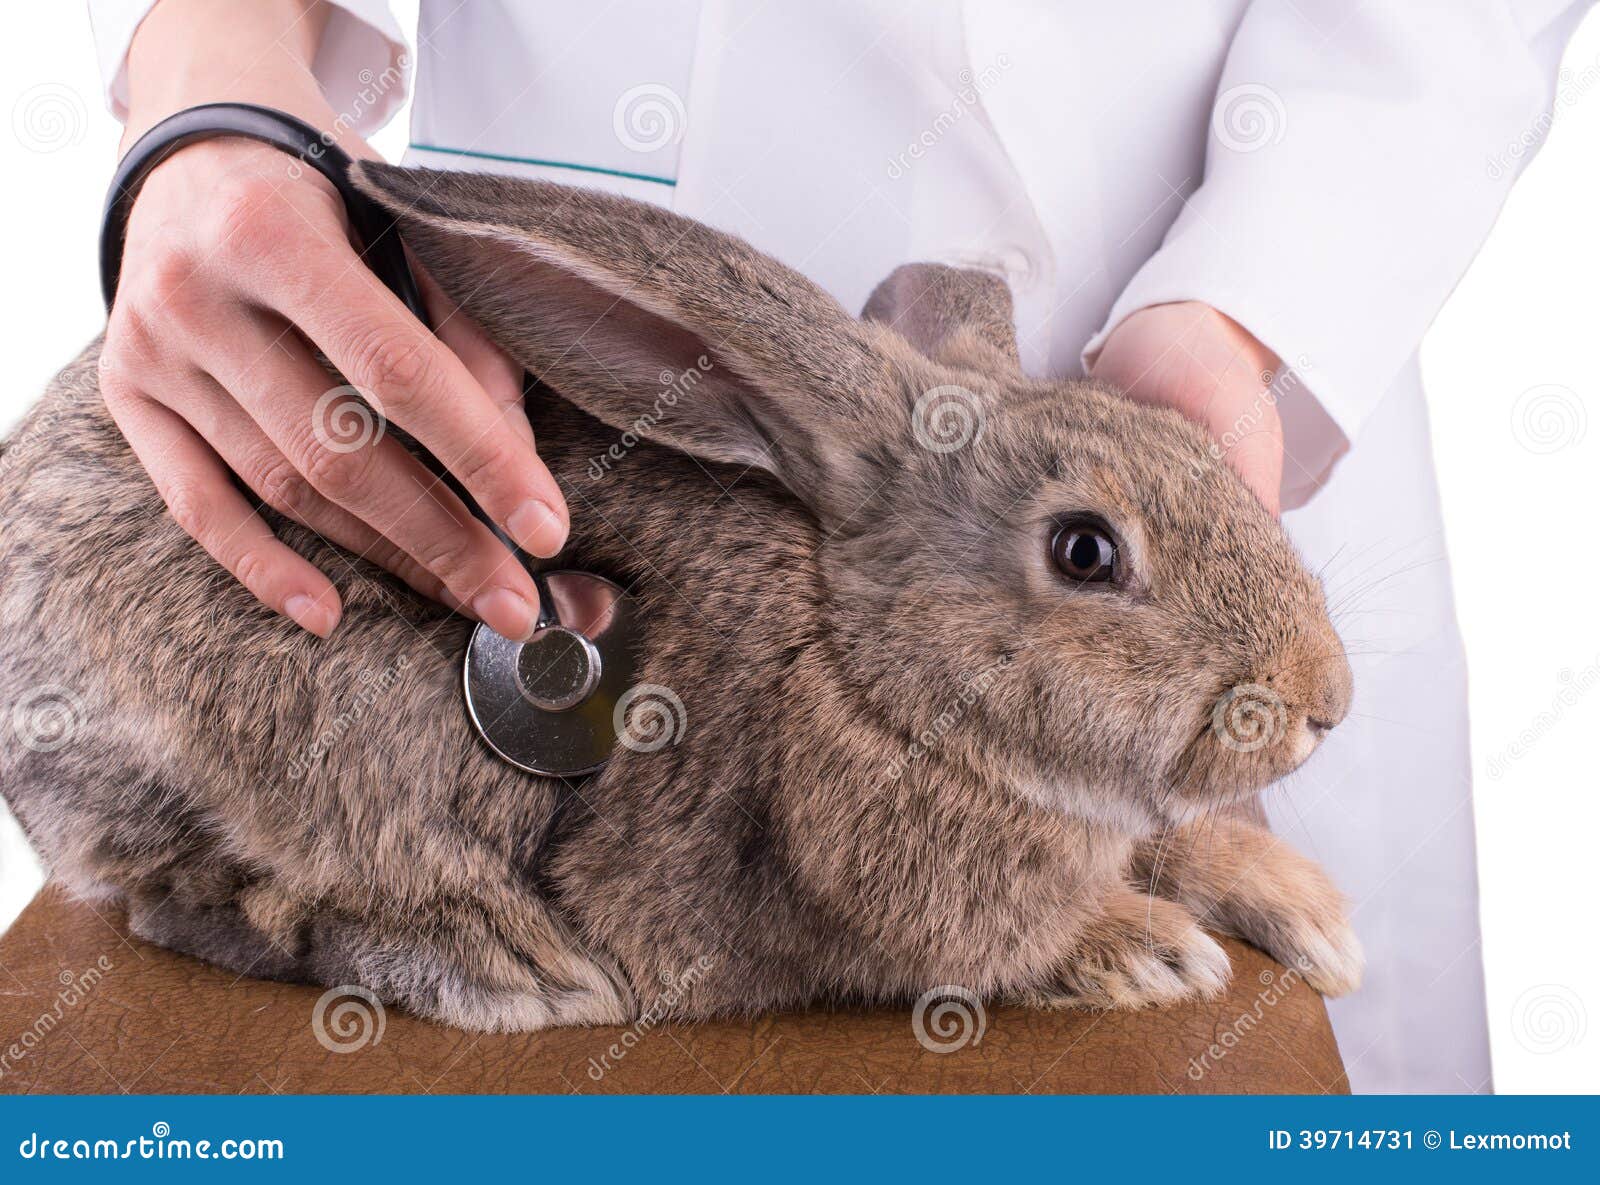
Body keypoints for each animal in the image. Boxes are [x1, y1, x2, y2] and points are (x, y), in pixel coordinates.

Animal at [0, 162, 1362, 1032]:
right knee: (218, 898)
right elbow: (1011, 945)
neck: (865, 665)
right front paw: (1144, 949)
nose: (1324, 704)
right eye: (1085, 552)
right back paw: (508, 967)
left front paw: (1307, 915)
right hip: (344, 714)